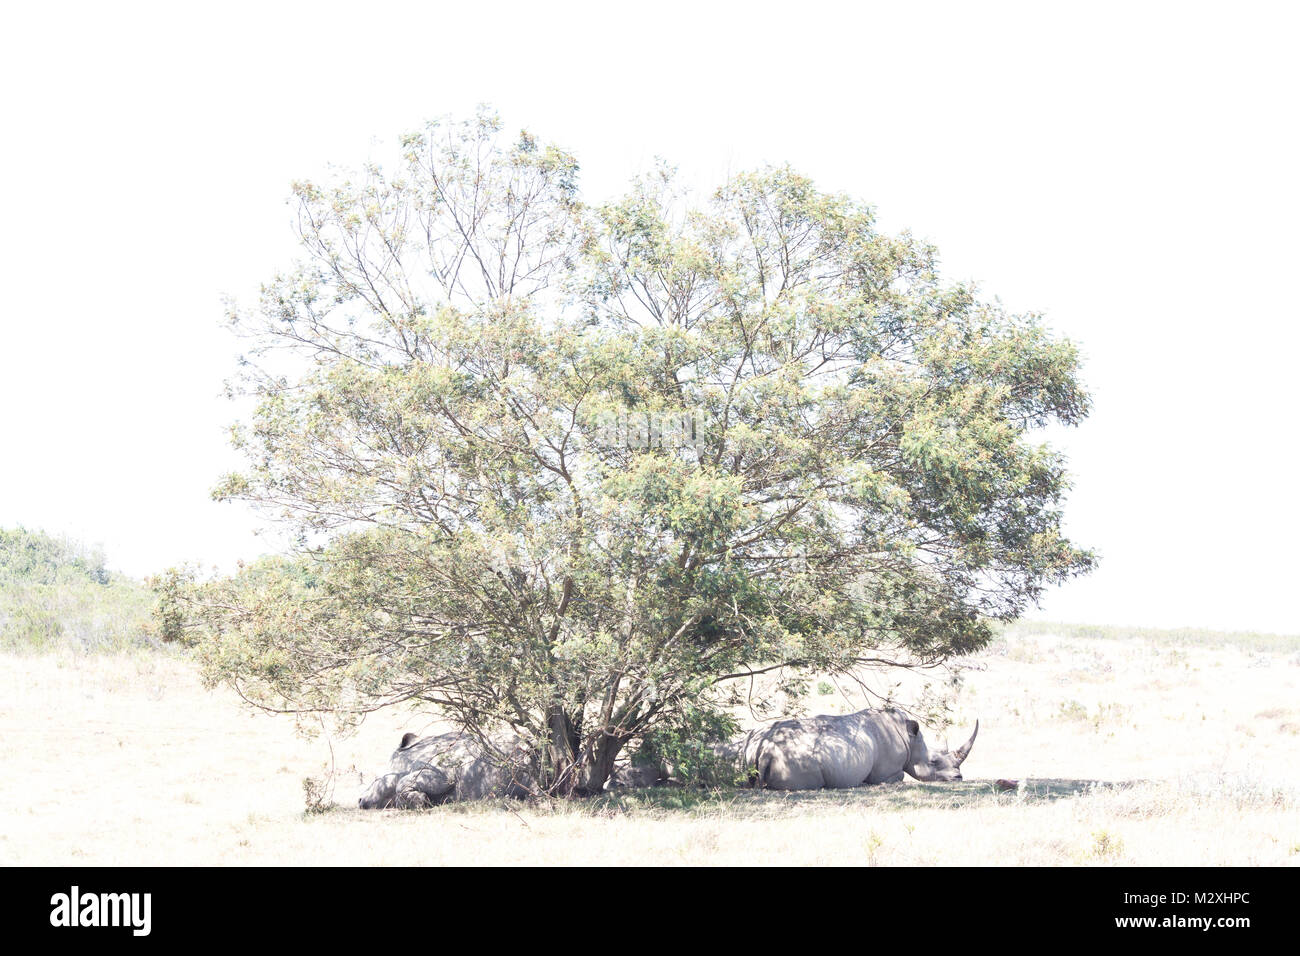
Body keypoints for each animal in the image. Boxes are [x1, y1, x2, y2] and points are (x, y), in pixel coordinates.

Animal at [358, 730, 534, 809]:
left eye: (375, 779)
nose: (359, 801)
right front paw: (421, 801)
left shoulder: (442, 774)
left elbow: (402, 783)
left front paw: (419, 800)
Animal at [745, 707, 977, 790]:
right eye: (933, 762)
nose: (958, 778)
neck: (911, 741)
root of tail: (764, 748)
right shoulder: (886, 772)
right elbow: (900, 776)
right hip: (791, 757)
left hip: (753, 745)